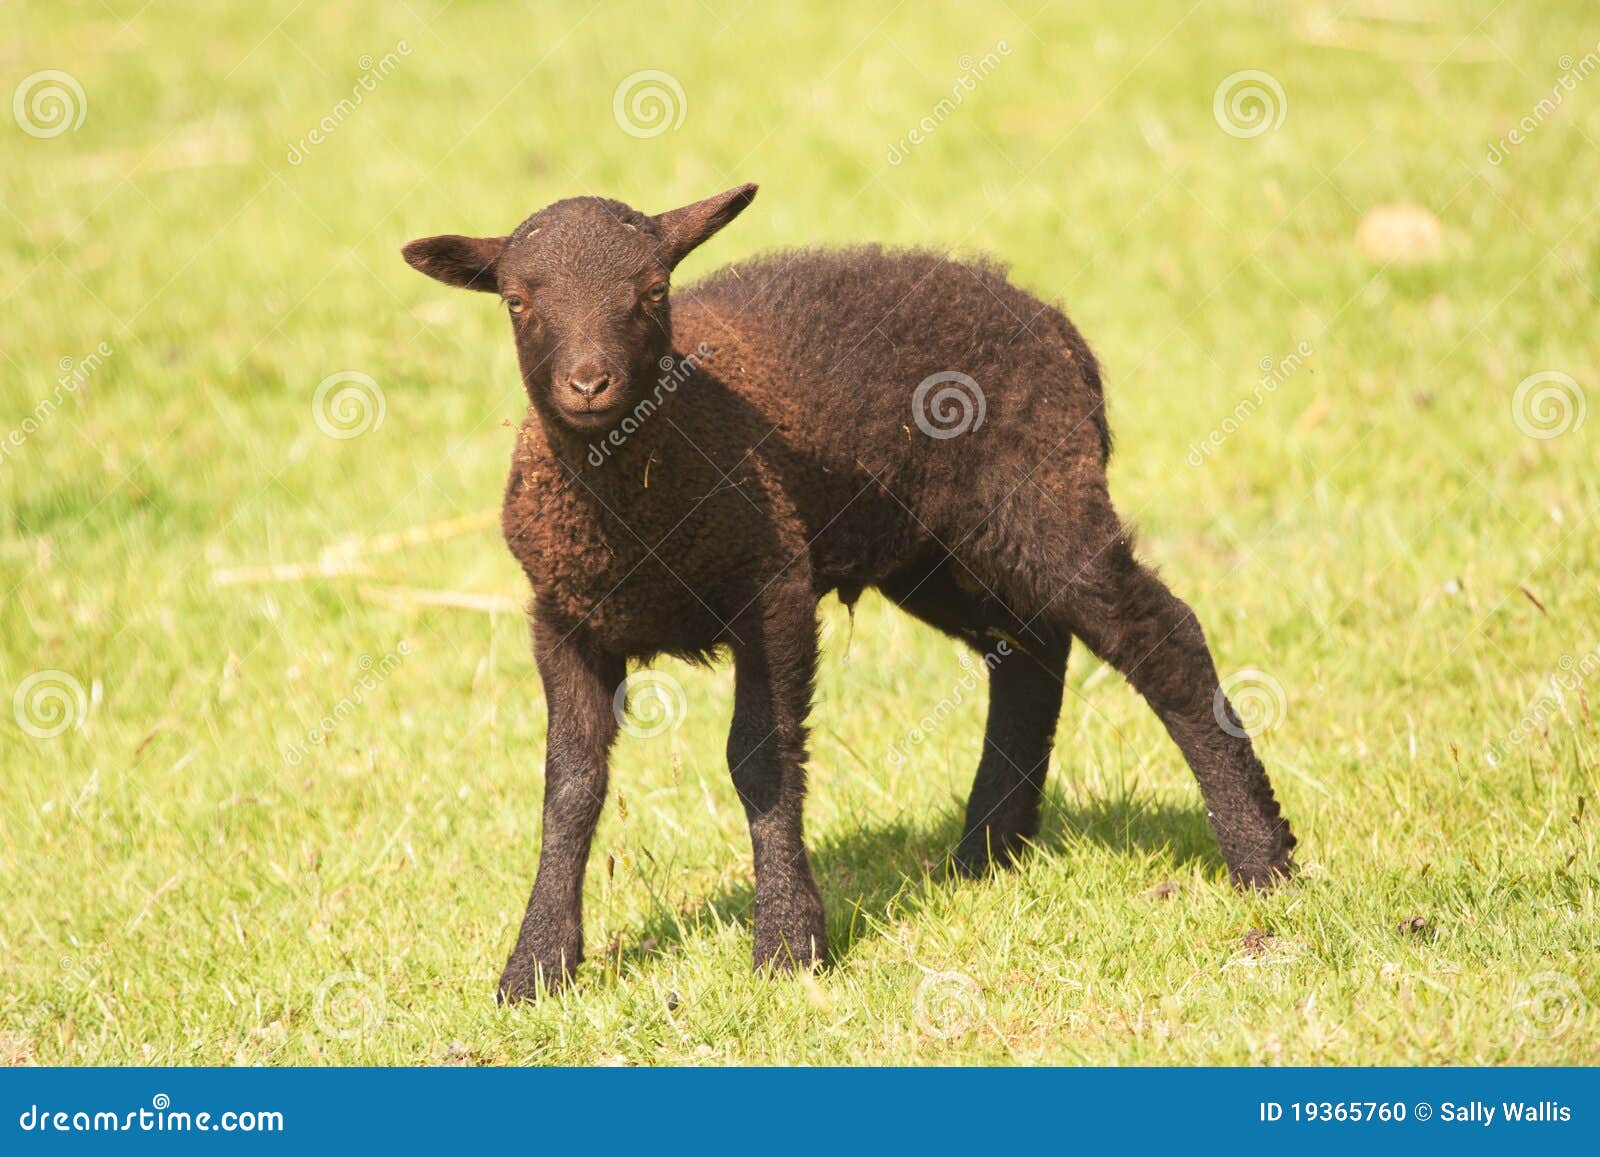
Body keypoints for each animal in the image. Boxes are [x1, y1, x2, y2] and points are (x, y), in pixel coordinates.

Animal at [402, 184, 1296, 1002]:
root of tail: (1050, 320)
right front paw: (537, 966)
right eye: (517, 300)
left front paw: (788, 942)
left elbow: (760, 758)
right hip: (934, 551)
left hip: (1046, 498)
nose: (589, 384)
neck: (636, 492)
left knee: (1160, 635)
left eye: (653, 290)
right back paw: (986, 851)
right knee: (1031, 653)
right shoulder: (562, 619)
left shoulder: (773, 587)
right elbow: (571, 784)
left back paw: (1261, 855)